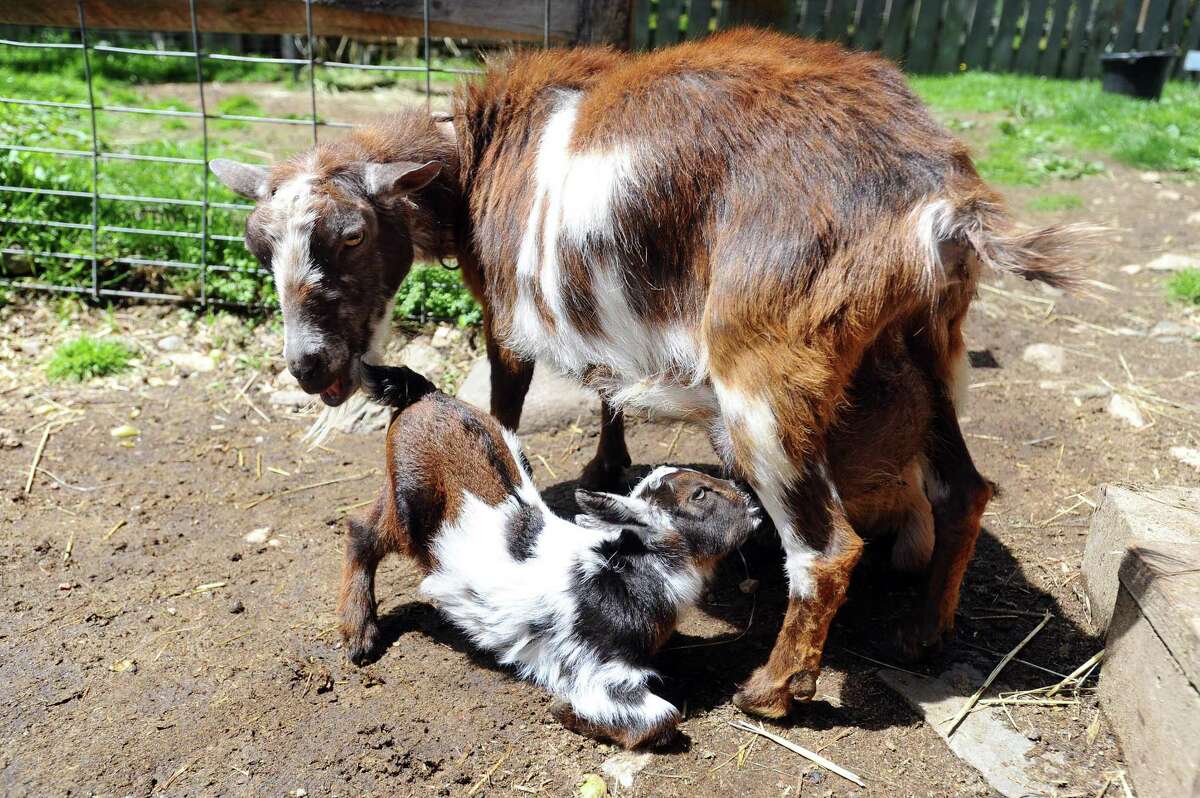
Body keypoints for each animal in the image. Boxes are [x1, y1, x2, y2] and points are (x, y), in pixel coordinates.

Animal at [340, 362, 760, 748]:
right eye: (699, 495)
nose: (751, 503)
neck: (623, 575)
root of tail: (426, 394)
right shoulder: (597, 666)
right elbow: (662, 717)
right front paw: (568, 714)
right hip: (409, 507)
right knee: (362, 532)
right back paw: (359, 636)